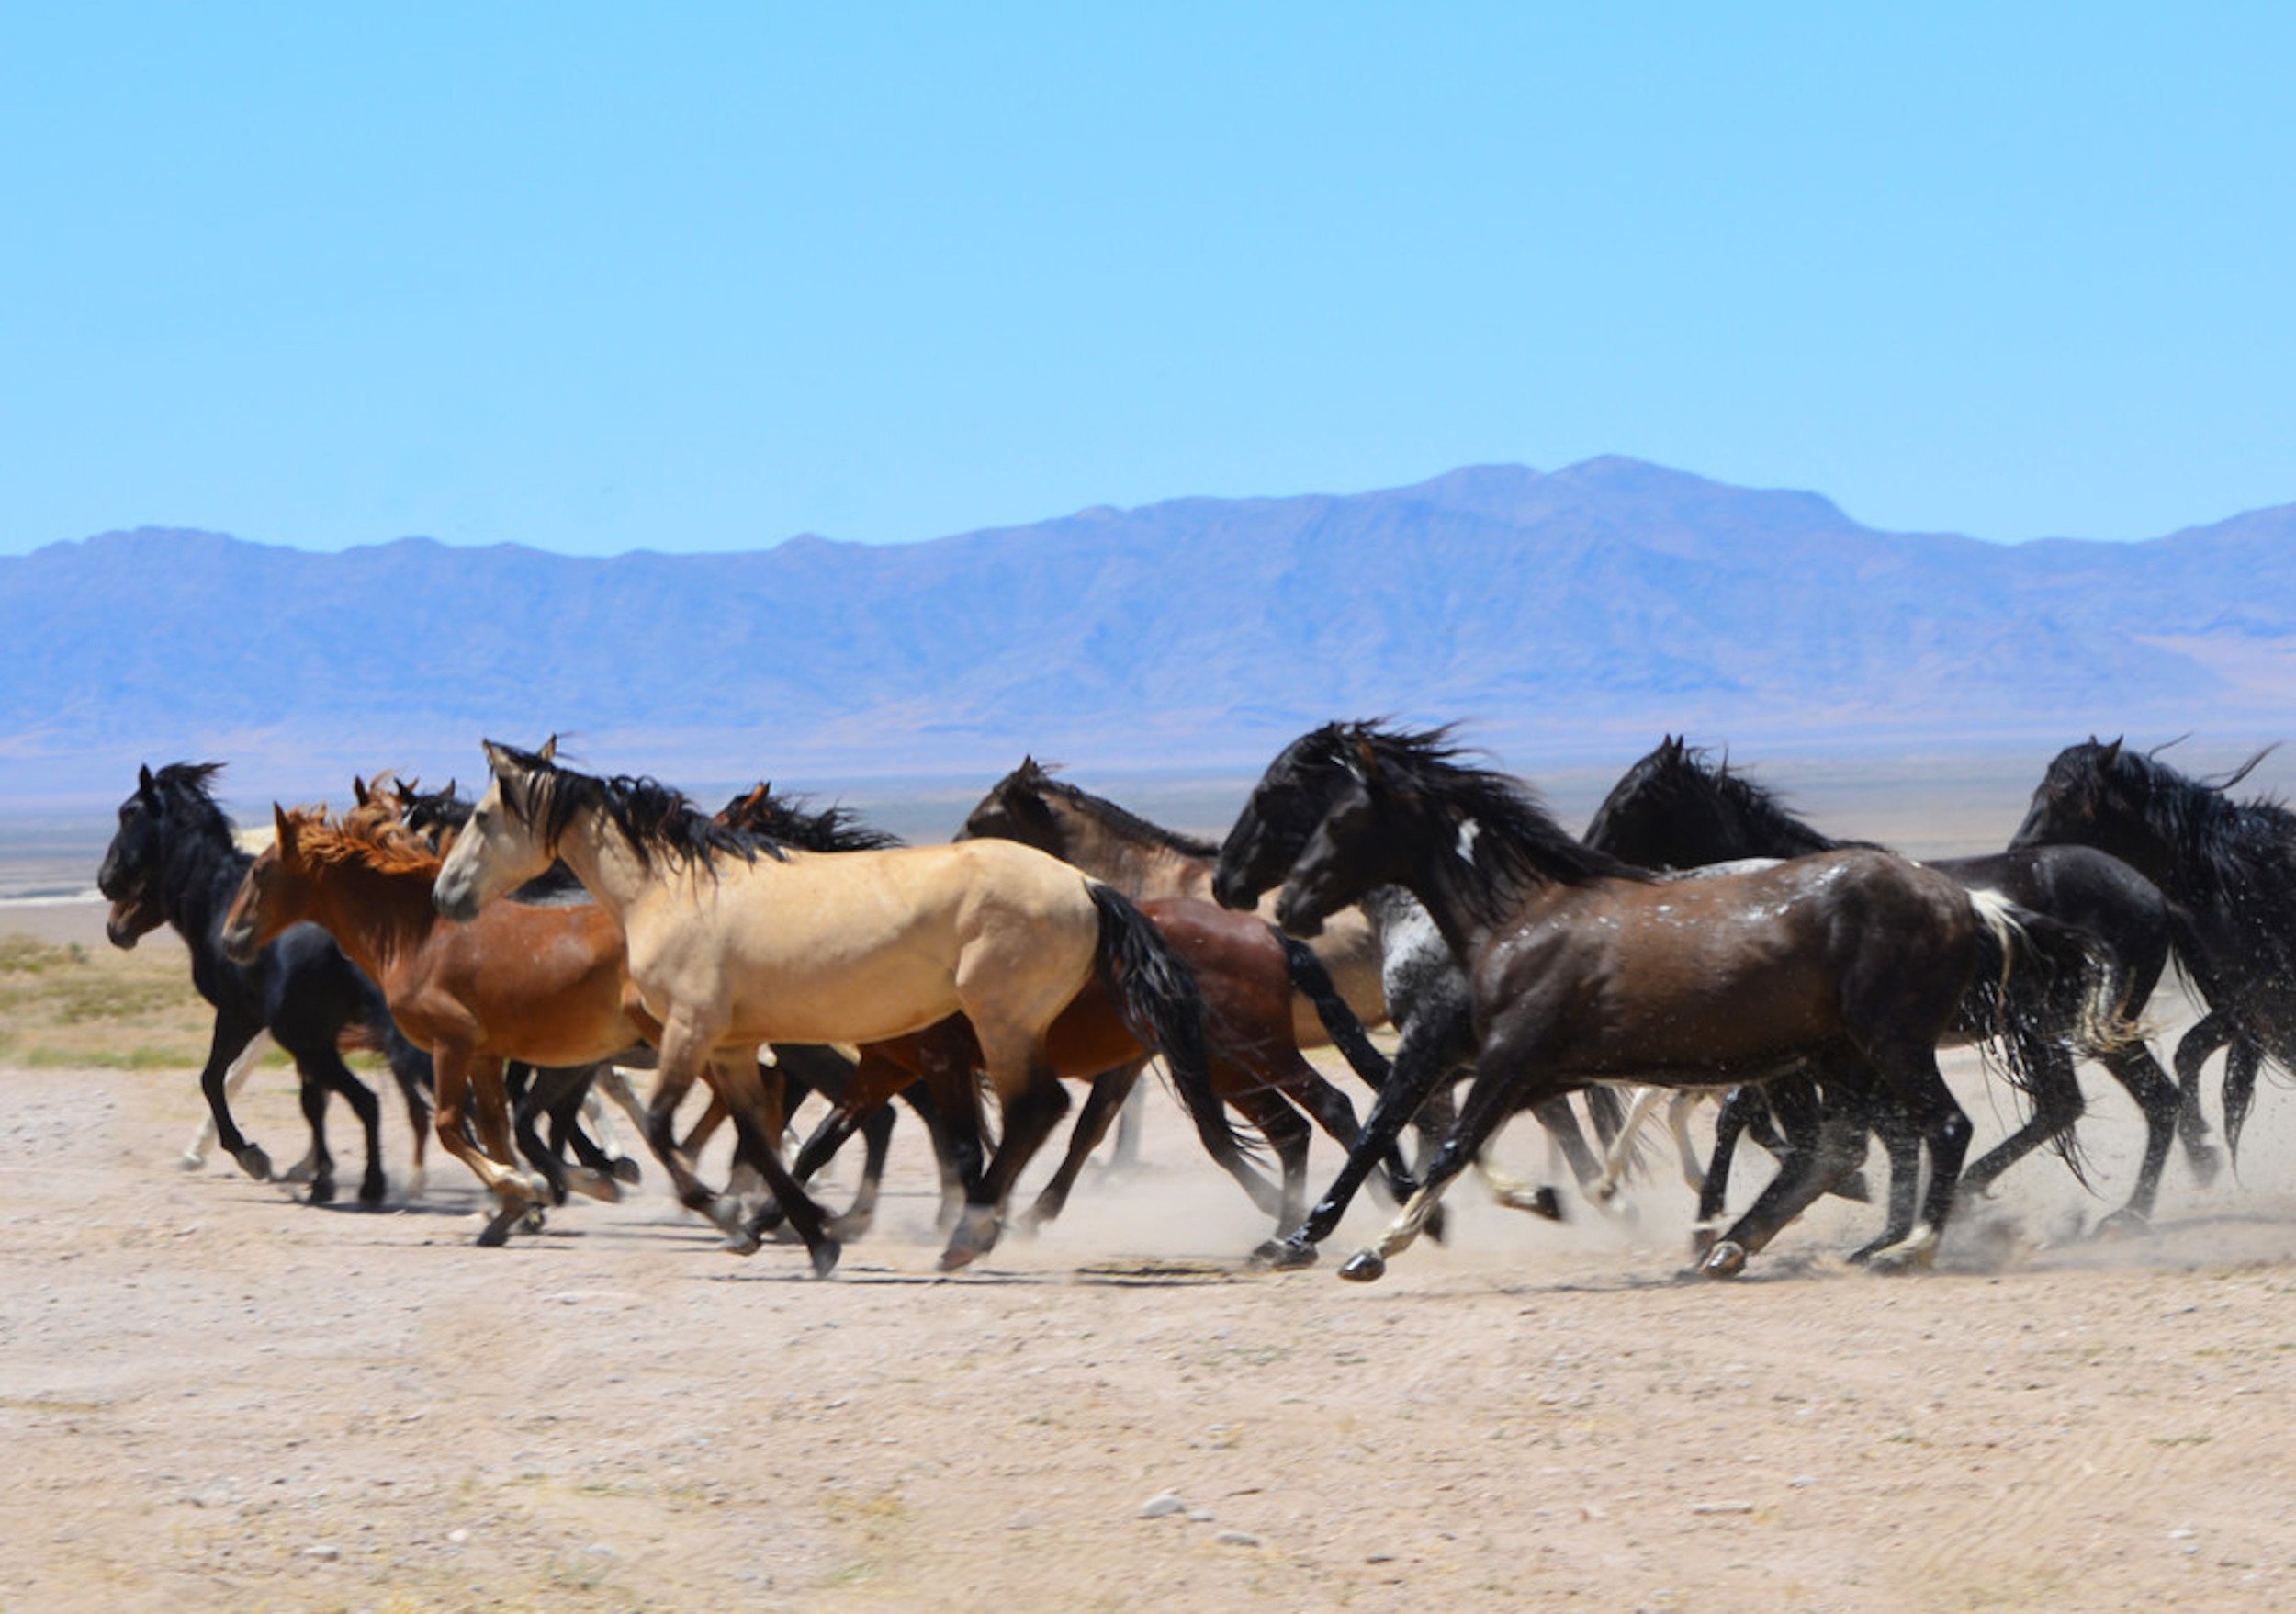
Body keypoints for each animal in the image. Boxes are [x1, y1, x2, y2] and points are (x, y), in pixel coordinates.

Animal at [96, 763, 433, 1205]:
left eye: (128, 814)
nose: (105, 882)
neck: (218, 897)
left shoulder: (240, 1017)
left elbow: (214, 1079)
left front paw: (251, 1156)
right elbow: (309, 1101)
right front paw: (314, 1173)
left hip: (309, 1038)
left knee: (372, 1101)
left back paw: (379, 1184)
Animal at [433, 742, 1247, 1275]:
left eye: (481, 817)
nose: (444, 893)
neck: (670, 889)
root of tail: (1087, 886)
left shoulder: (692, 1030)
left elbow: (670, 1131)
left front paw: (731, 1217)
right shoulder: (731, 1046)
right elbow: (764, 1141)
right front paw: (811, 1235)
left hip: (1001, 1021)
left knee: (1039, 1109)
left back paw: (971, 1234)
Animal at [1214, 723, 2105, 1282]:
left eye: (1327, 813)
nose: (1268, 899)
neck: (1519, 913)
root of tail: (1966, 900)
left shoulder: (1496, 1058)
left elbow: (1436, 1140)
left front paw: (1356, 1246)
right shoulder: (1531, 1069)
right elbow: (1465, 1141)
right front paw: (1548, 1200)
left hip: (1886, 1042)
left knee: (1939, 1127)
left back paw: (1902, 1246)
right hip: (1840, 1053)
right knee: (1840, 1147)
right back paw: (1732, 1245)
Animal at [1582, 735, 2213, 1230]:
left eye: (1631, 799)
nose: (1586, 858)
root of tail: (2153, 896)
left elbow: (1743, 1113)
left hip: (2087, 1023)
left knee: (2135, 1101)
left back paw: (2123, 1212)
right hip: (2055, 1027)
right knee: (2083, 1104)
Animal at [2010, 737, 2292, 1164]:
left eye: (2067, 792)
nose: (2018, 853)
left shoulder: (2261, 1001)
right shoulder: (2243, 1006)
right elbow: (2195, 1056)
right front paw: (2200, 1142)